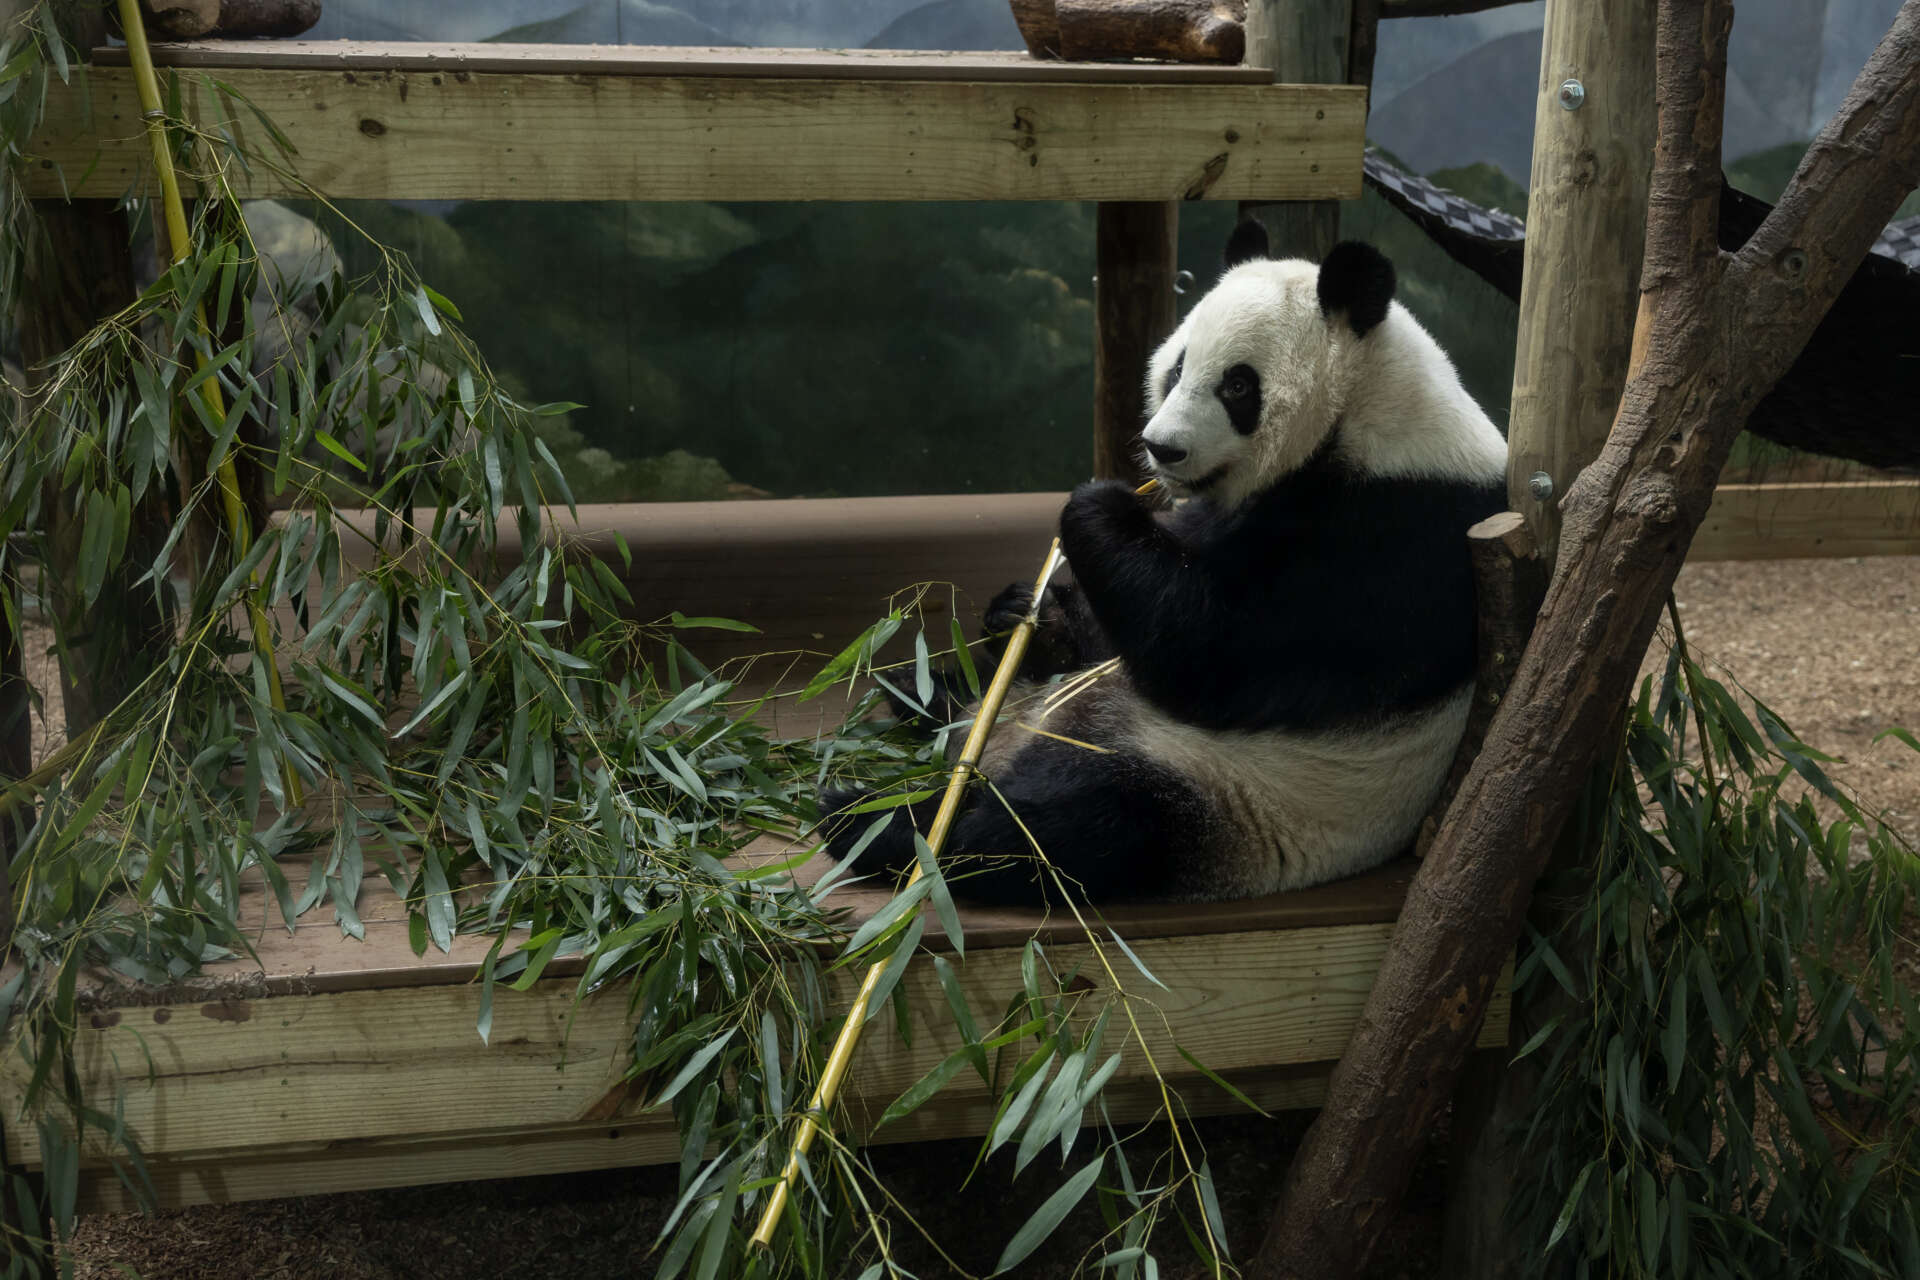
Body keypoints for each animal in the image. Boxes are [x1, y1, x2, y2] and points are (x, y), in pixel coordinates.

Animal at [822, 226, 1509, 906]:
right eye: (1178, 366)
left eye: (1238, 386)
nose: (1161, 448)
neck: (1364, 414)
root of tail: (1013, 735)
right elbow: (1129, 614)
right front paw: (1028, 613)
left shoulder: (1395, 537)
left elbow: (1213, 653)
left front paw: (1096, 504)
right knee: (998, 699)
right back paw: (920, 694)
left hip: (1226, 788)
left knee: (1069, 825)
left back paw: (876, 823)